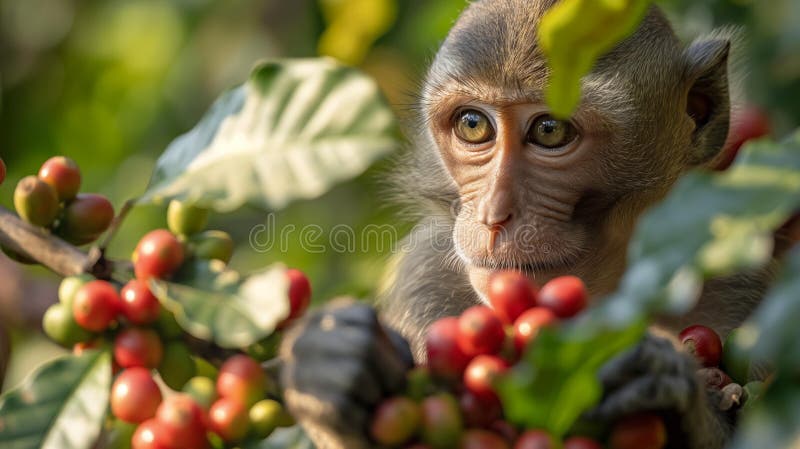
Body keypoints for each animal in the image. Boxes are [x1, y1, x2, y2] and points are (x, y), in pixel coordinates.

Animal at [279, 2, 770, 448]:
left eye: (550, 131)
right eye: (473, 125)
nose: (493, 215)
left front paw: (660, 388)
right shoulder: (424, 279)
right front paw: (330, 369)